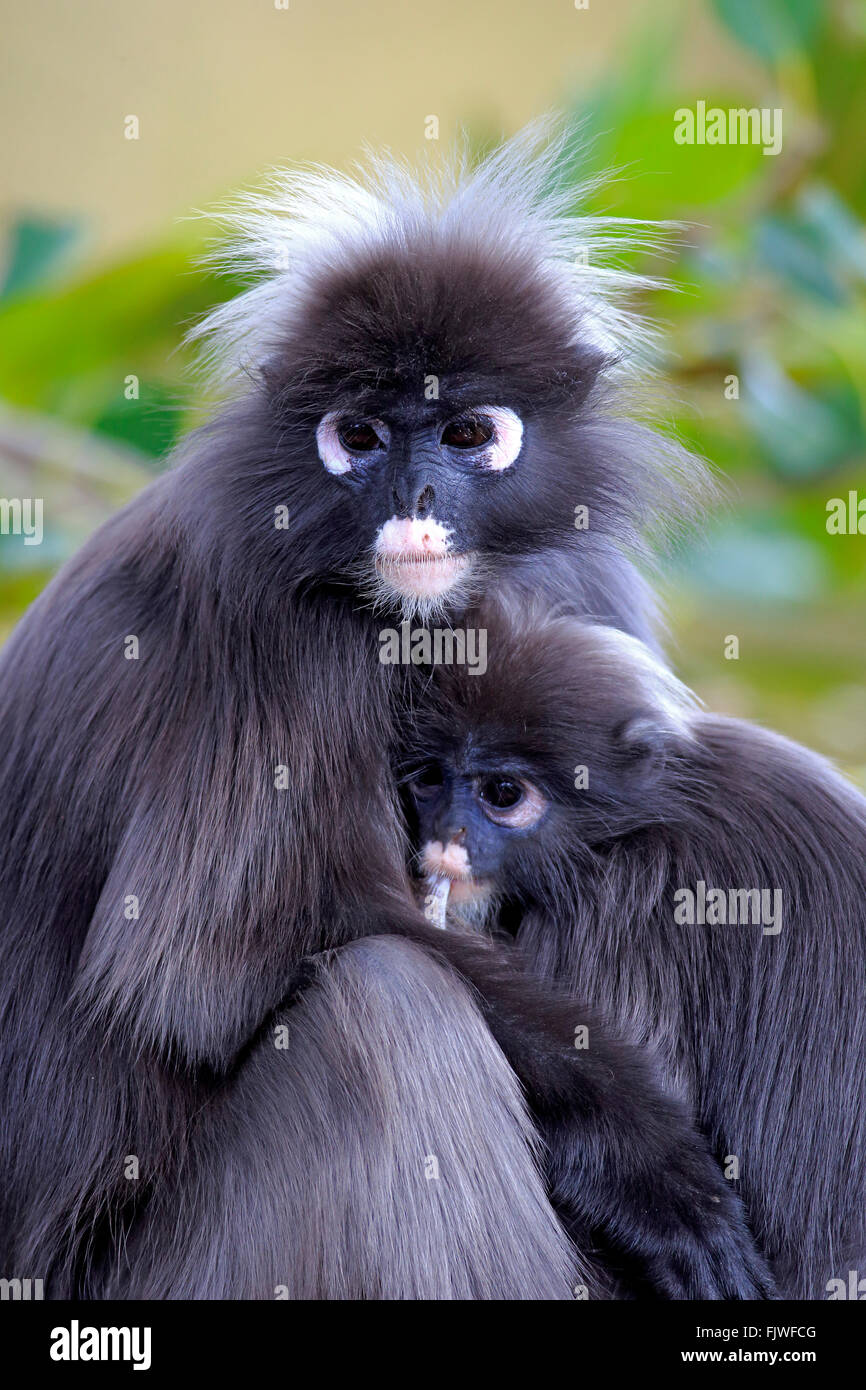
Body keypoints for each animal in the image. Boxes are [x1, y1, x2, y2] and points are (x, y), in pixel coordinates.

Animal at [0, 126, 771, 1298]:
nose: (412, 503)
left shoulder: (576, 571)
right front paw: (641, 1155)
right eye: (358, 436)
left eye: (465, 431)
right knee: (386, 1009)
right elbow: (193, 974)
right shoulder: (274, 619)